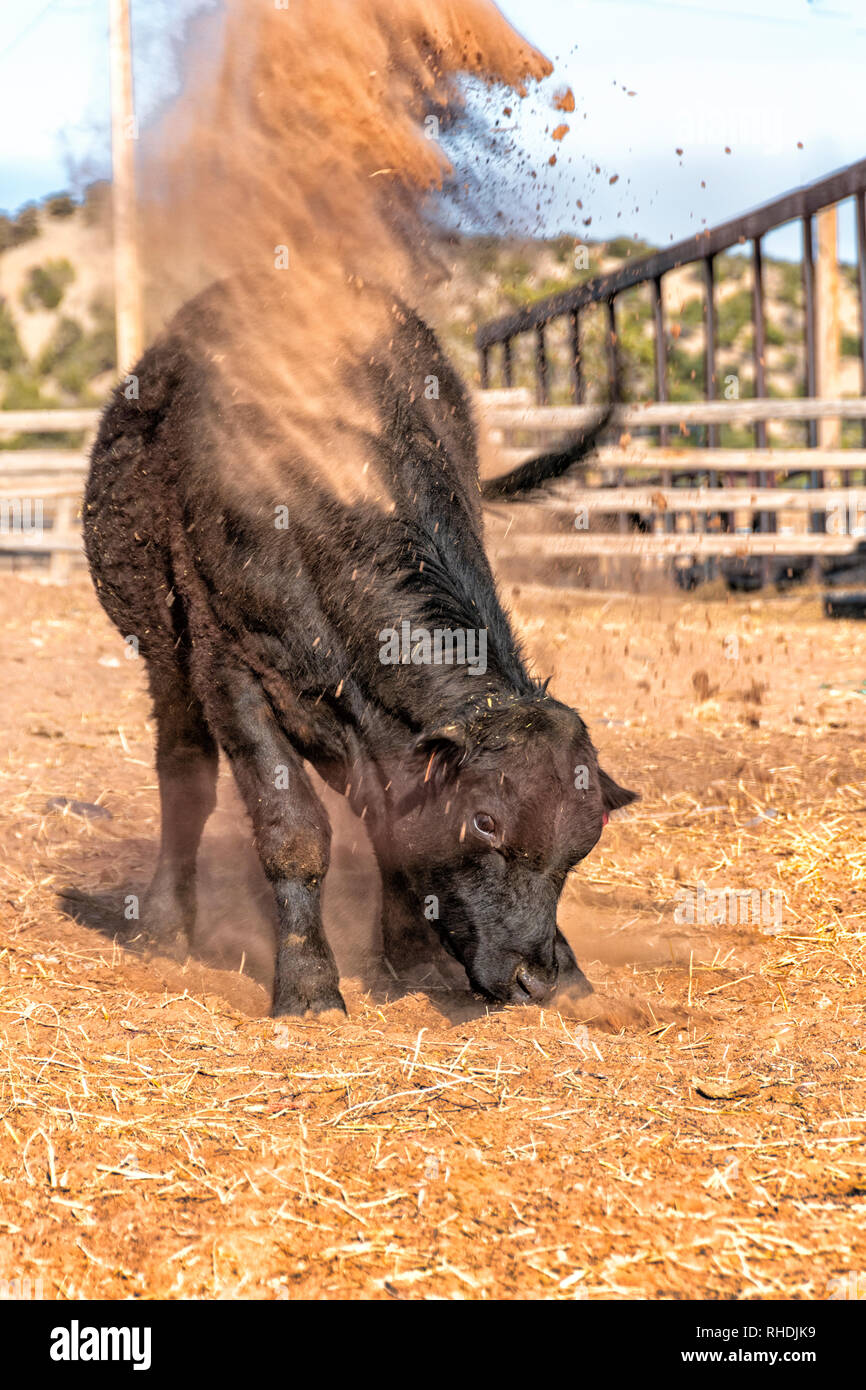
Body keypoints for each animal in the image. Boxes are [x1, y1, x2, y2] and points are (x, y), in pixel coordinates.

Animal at [84, 282, 635, 1017]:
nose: (534, 978)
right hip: (166, 660)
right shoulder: (231, 672)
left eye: (582, 844)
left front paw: (416, 958)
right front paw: (310, 985)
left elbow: (395, 834)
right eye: (485, 821)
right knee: (185, 779)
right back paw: (166, 925)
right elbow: (293, 831)